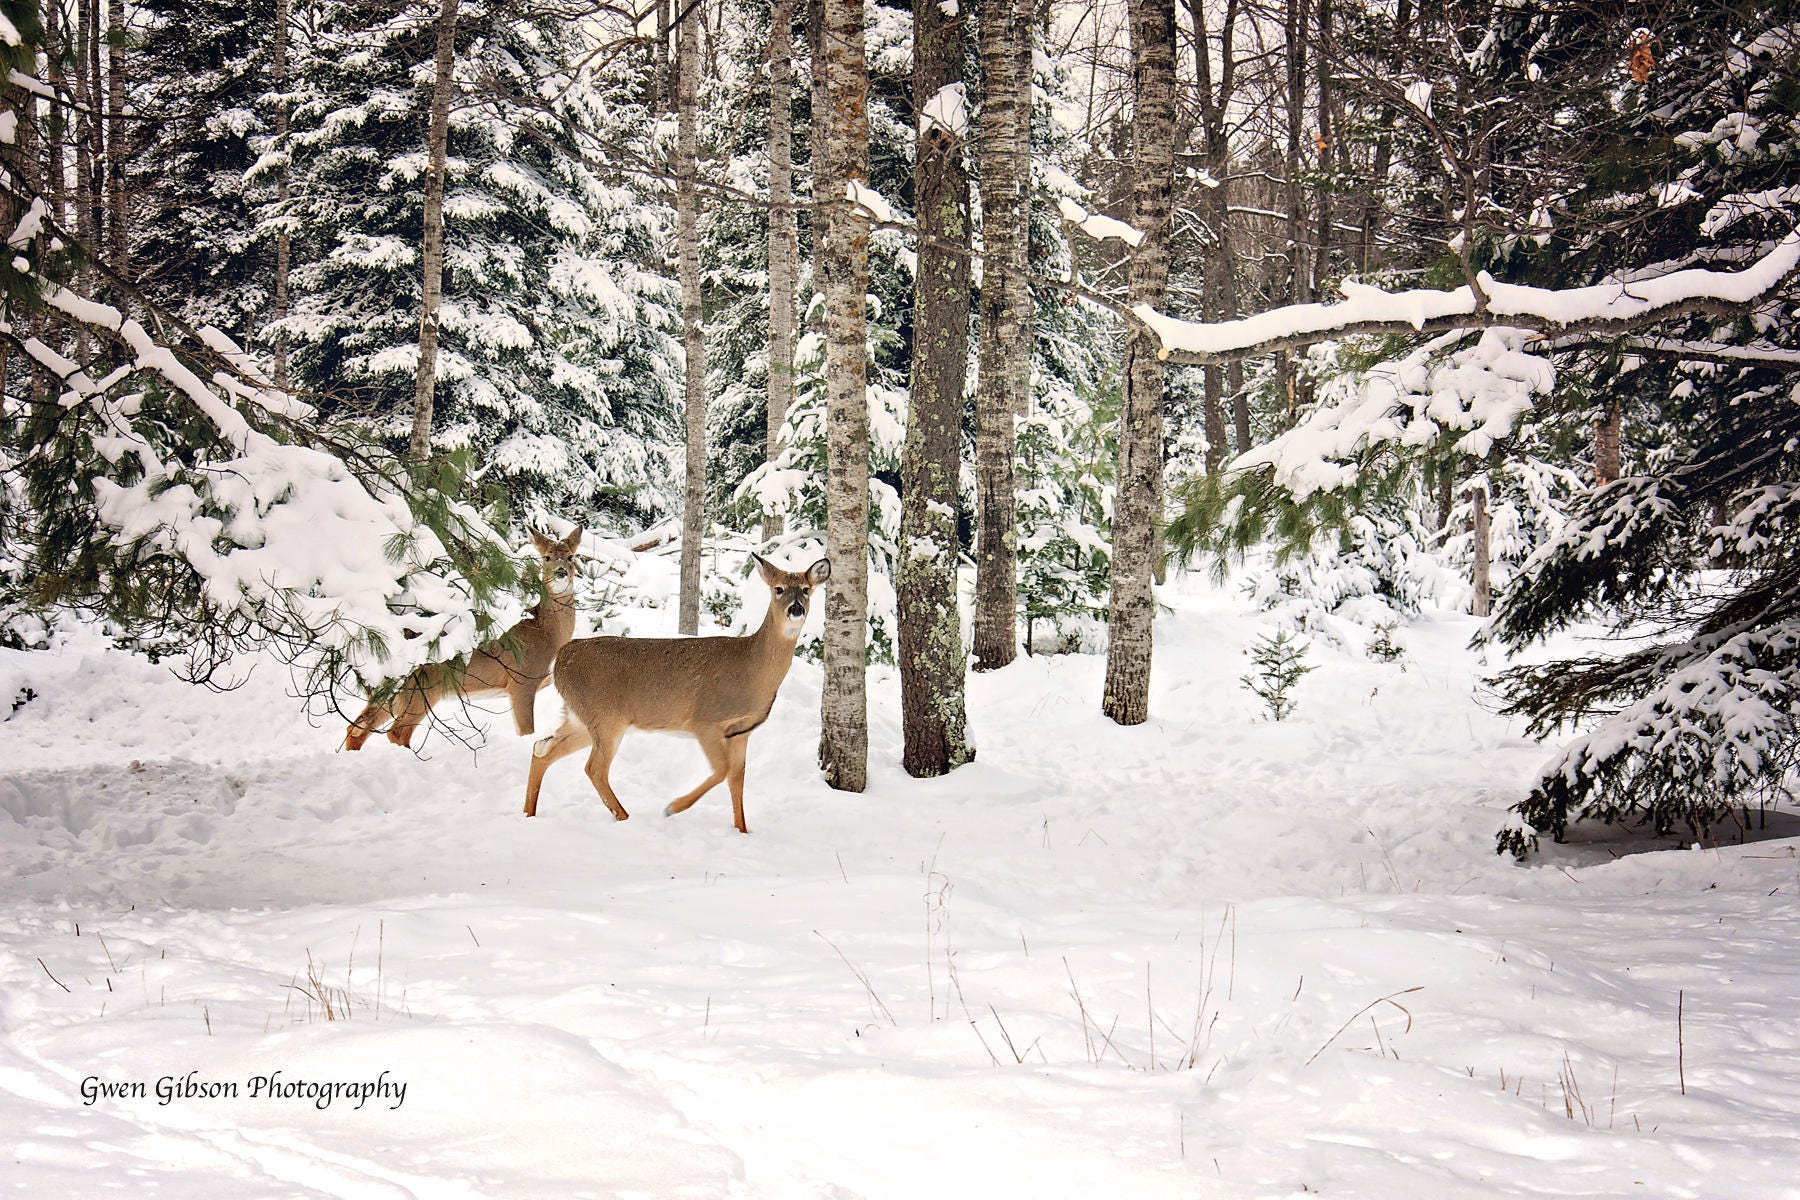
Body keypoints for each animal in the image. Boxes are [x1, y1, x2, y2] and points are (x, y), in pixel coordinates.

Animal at [343, 526, 584, 750]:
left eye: (571, 556)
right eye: (547, 557)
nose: (561, 572)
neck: (546, 632)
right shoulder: (522, 680)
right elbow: (526, 731)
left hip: (392, 688)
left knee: (357, 727)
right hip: (424, 687)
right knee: (396, 732)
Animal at [523, 552, 830, 832]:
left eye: (806, 589)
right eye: (778, 589)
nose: (796, 609)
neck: (752, 668)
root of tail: (560, 658)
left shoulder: (741, 732)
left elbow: (737, 779)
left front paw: (742, 830)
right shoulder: (705, 720)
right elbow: (722, 771)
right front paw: (672, 807)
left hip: (582, 719)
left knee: (542, 749)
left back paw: (529, 813)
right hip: (604, 717)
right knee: (593, 768)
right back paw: (625, 817)